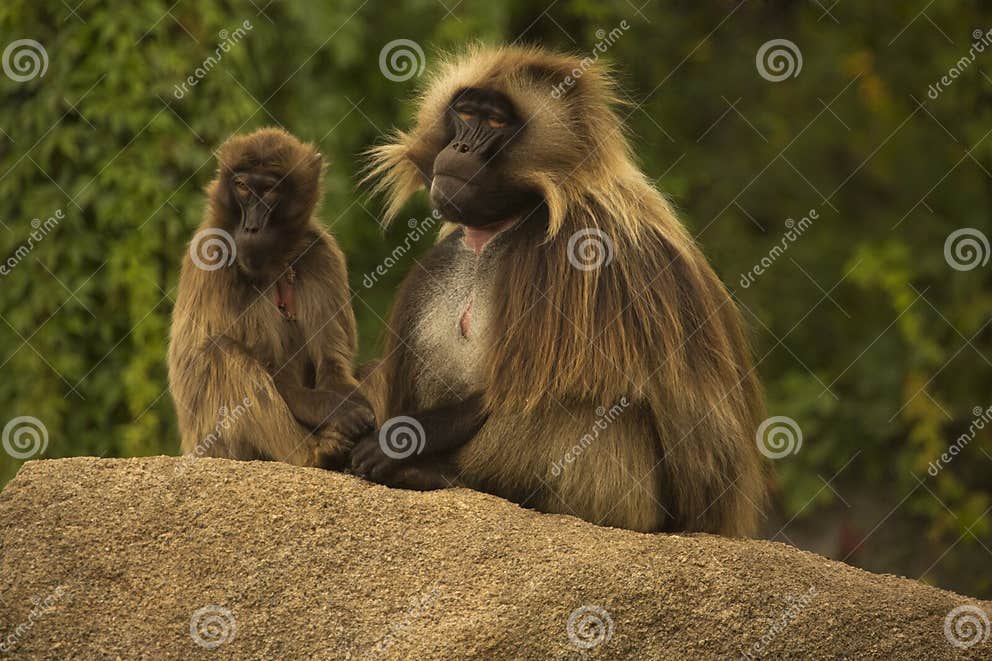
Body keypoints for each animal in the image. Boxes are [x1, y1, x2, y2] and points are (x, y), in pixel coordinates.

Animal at [168, 127, 373, 468]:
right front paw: (337, 409)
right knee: (222, 353)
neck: (276, 262)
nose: (251, 227)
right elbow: (266, 366)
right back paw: (315, 455)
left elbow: (333, 365)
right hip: (219, 447)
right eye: (241, 187)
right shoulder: (213, 253)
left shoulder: (321, 254)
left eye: (269, 190)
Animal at [352, 46, 768, 536]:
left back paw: (434, 473)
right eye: (465, 113)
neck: (509, 222)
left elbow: (551, 384)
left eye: (496, 123)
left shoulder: (591, 245)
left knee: (584, 402)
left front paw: (401, 443)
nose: (461, 148)